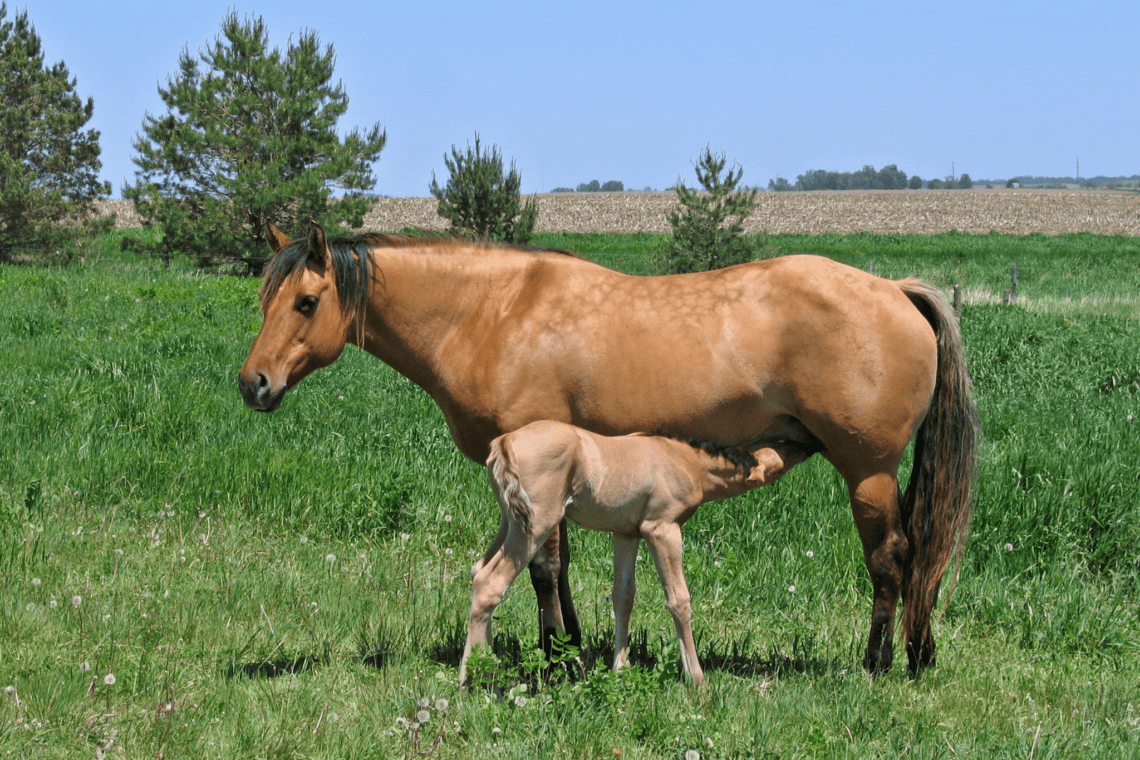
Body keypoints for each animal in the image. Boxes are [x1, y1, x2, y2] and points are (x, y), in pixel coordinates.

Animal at [463, 420, 811, 686]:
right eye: (781, 452)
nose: (810, 443)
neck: (683, 460)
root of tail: (505, 442)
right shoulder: (662, 529)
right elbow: (678, 600)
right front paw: (696, 679)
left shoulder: (626, 534)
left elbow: (623, 596)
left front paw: (621, 668)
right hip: (537, 527)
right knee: (491, 583)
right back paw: (474, 681)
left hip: (510, 521)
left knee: (478, 571)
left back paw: (486, 661)